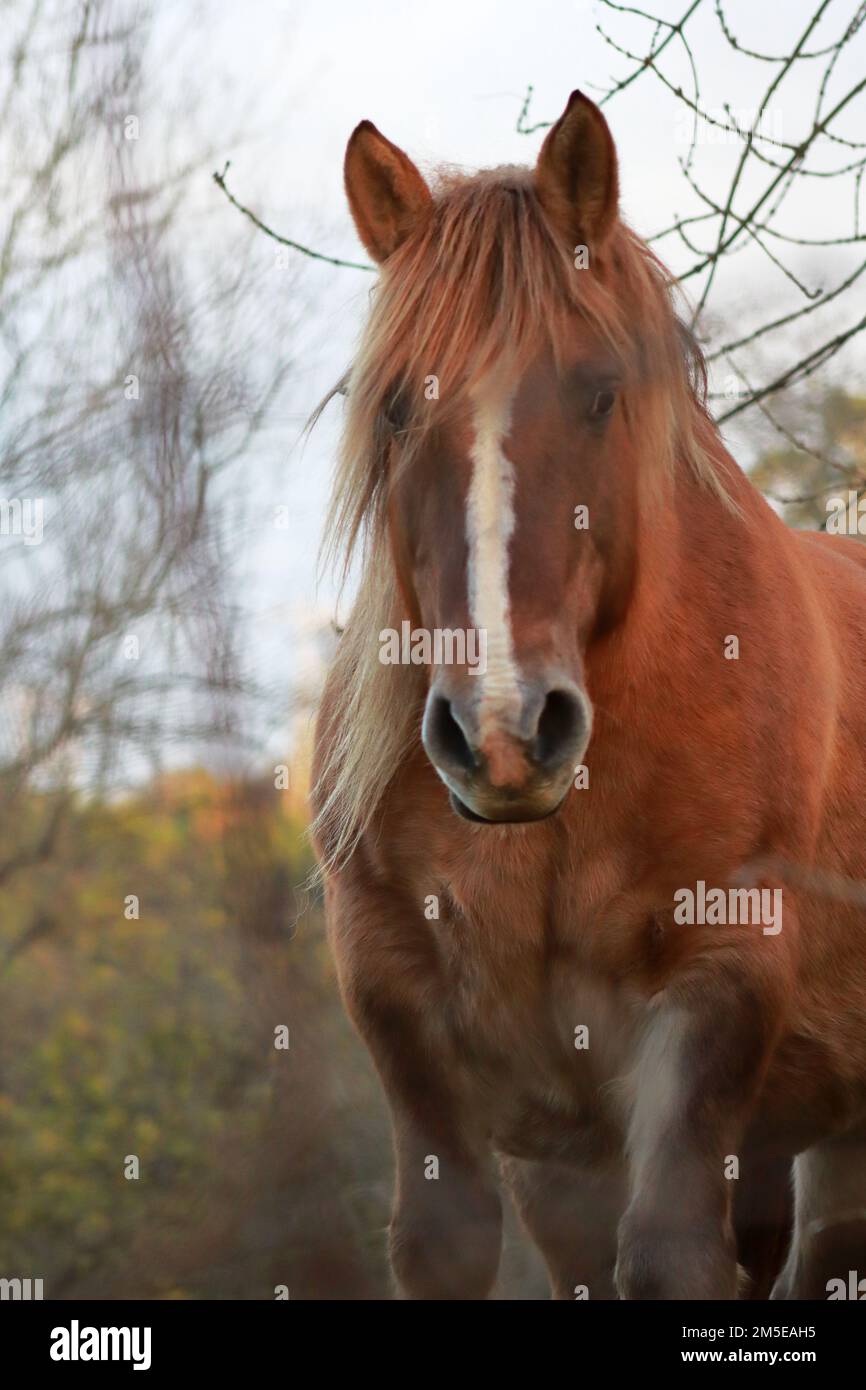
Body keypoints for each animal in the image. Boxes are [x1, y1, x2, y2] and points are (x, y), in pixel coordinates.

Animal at [311, 90, 866, 1300]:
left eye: (601, 392)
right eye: (393, 409)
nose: (503, 733)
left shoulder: (711, 1004)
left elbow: (667, 1258)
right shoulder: (456, 1076)